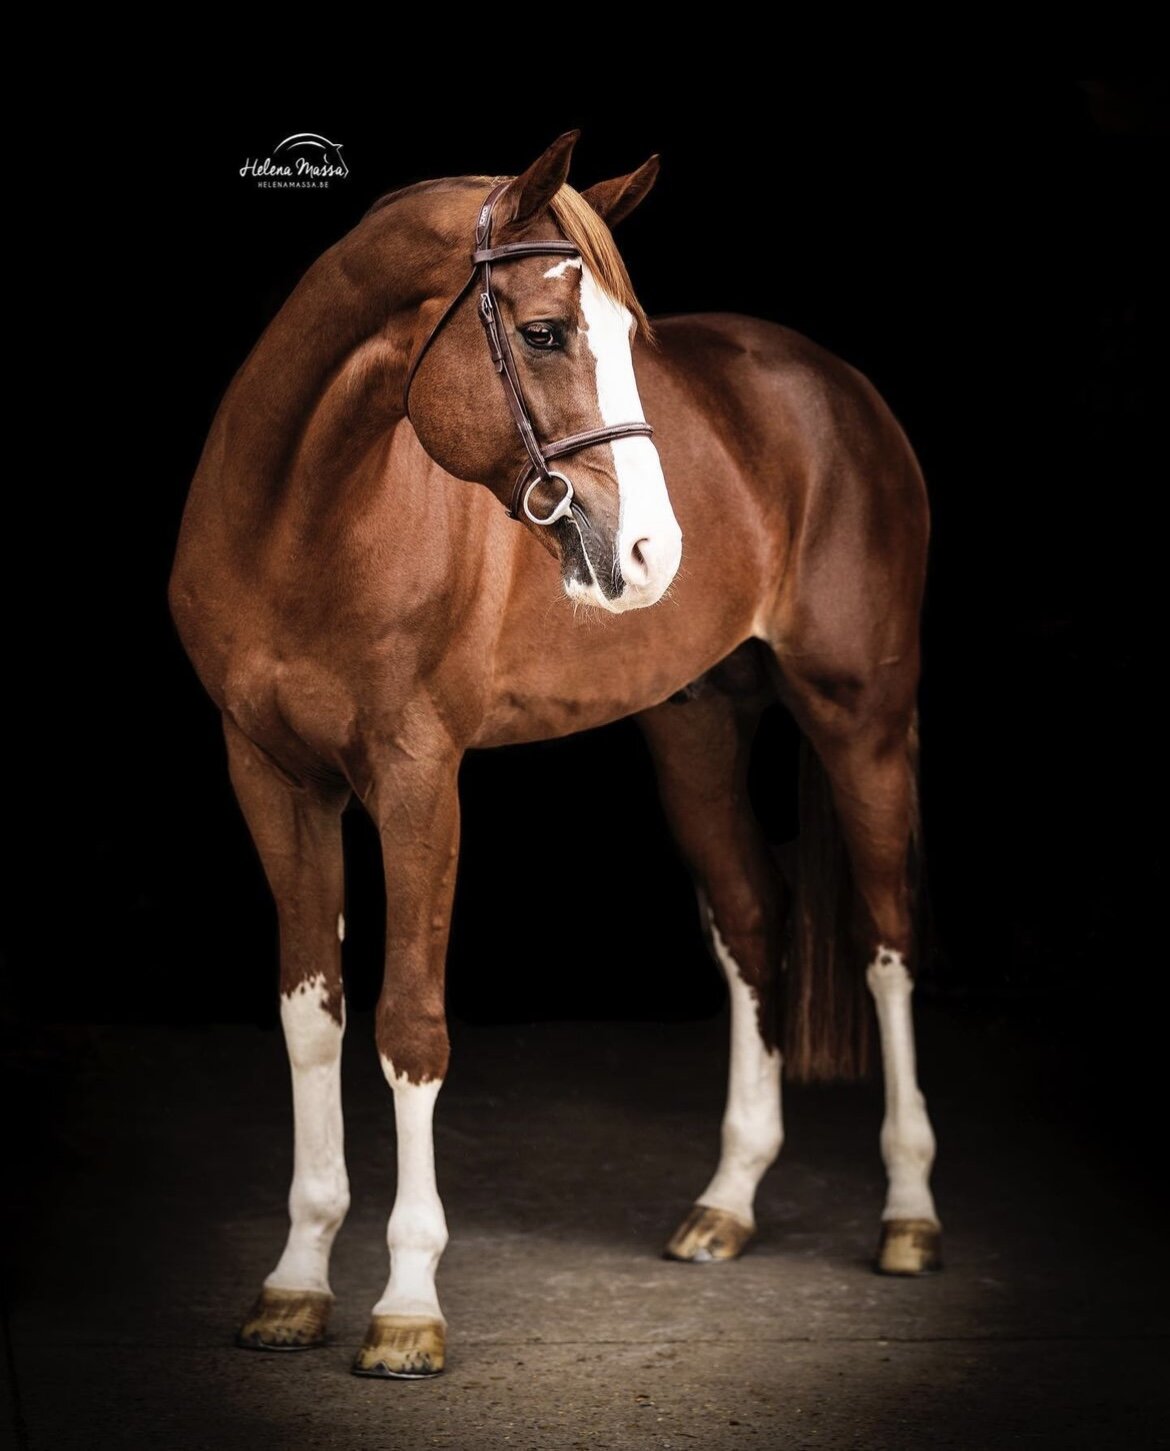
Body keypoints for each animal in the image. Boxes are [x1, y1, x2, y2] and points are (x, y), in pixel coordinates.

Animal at [169, 130, 940, 1380]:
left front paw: (408, 1304)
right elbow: (310, 1017)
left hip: (860, 713)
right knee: (752, 918)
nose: (655, 549)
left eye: (634, 338)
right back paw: (725, 1202)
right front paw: (295, 1280)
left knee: (887, 943)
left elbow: (409, 1027)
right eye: (542, 332)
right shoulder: (272, 779)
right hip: (694, 722)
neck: (304, 522)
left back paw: (910, 1215)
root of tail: (839, 385)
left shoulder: (419, 779)